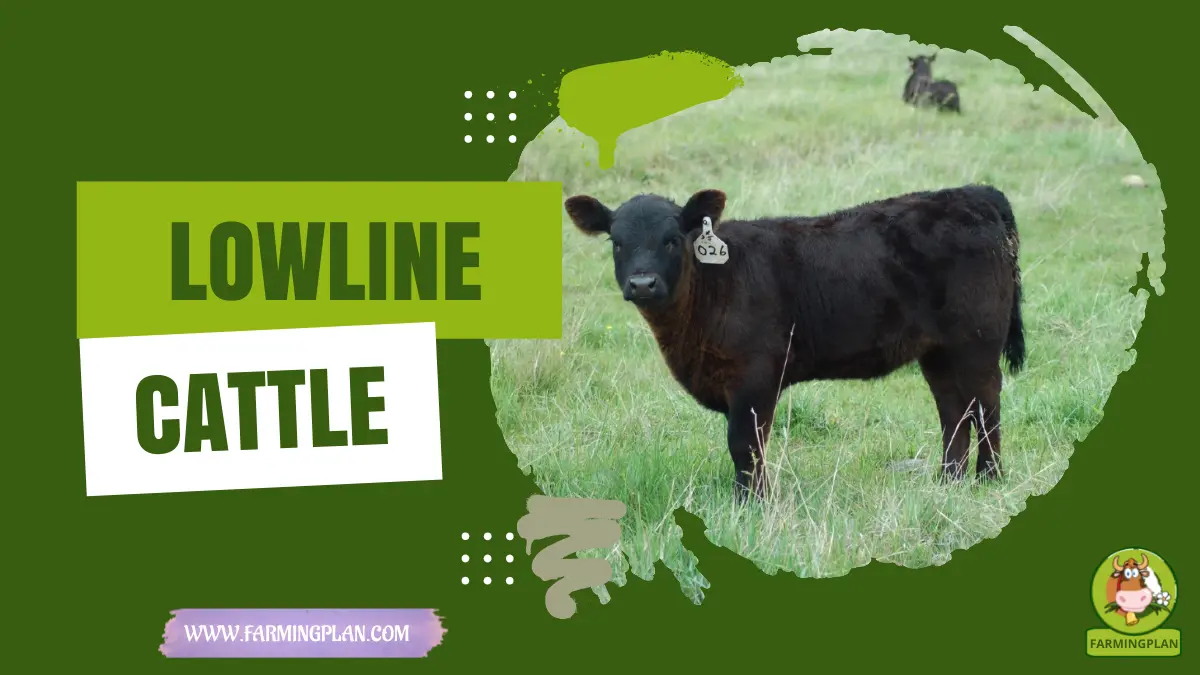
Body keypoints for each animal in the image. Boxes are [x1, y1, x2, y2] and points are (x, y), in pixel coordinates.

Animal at [564, 184, 1025, 502]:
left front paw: (752, 503)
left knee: (986, 409)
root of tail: (972, 193)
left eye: (672, 239)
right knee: (954, 411)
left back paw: (988, 479)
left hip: (977, 344)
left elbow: (745, 445)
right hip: (938, 353)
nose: (643, 283)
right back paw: (948, 481)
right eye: (616, 242)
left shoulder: (755, 377)